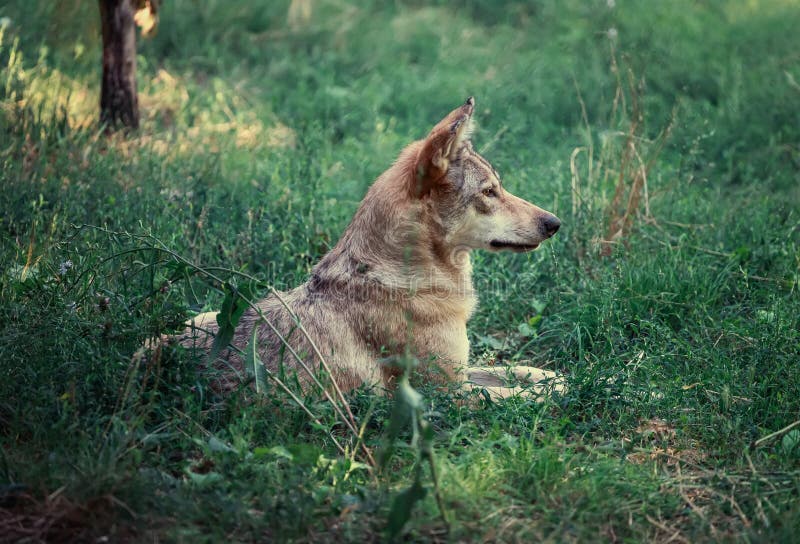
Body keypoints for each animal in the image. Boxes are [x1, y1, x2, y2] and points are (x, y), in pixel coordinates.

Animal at [174, 97, 563, 400]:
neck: (405, 280)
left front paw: (558, 376)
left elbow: (518, 370)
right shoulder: (446, 394)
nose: (555, 223)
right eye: (488, 192)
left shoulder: (462, 371)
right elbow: (518, 394)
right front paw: (566, 389)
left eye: (499, 187)